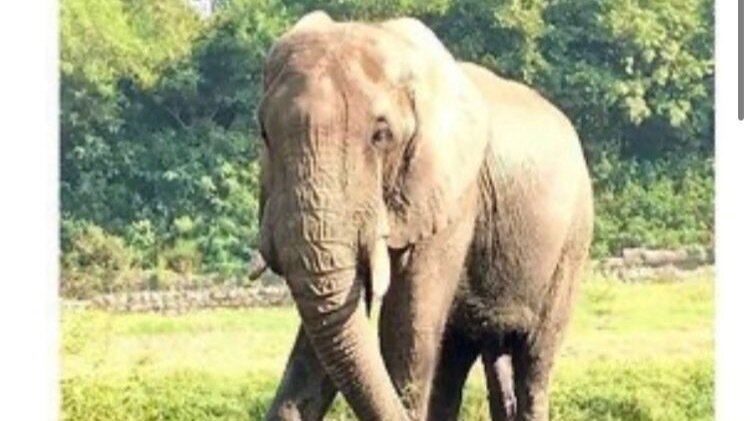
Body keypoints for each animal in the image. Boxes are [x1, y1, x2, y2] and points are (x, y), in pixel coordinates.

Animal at [255, 11, 593, 421]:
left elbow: (406, 327)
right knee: (467, 358)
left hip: (573, 241)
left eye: (381, 135)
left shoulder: (455, 195)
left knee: (534, 361)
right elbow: (321, 334)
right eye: (264, 133)